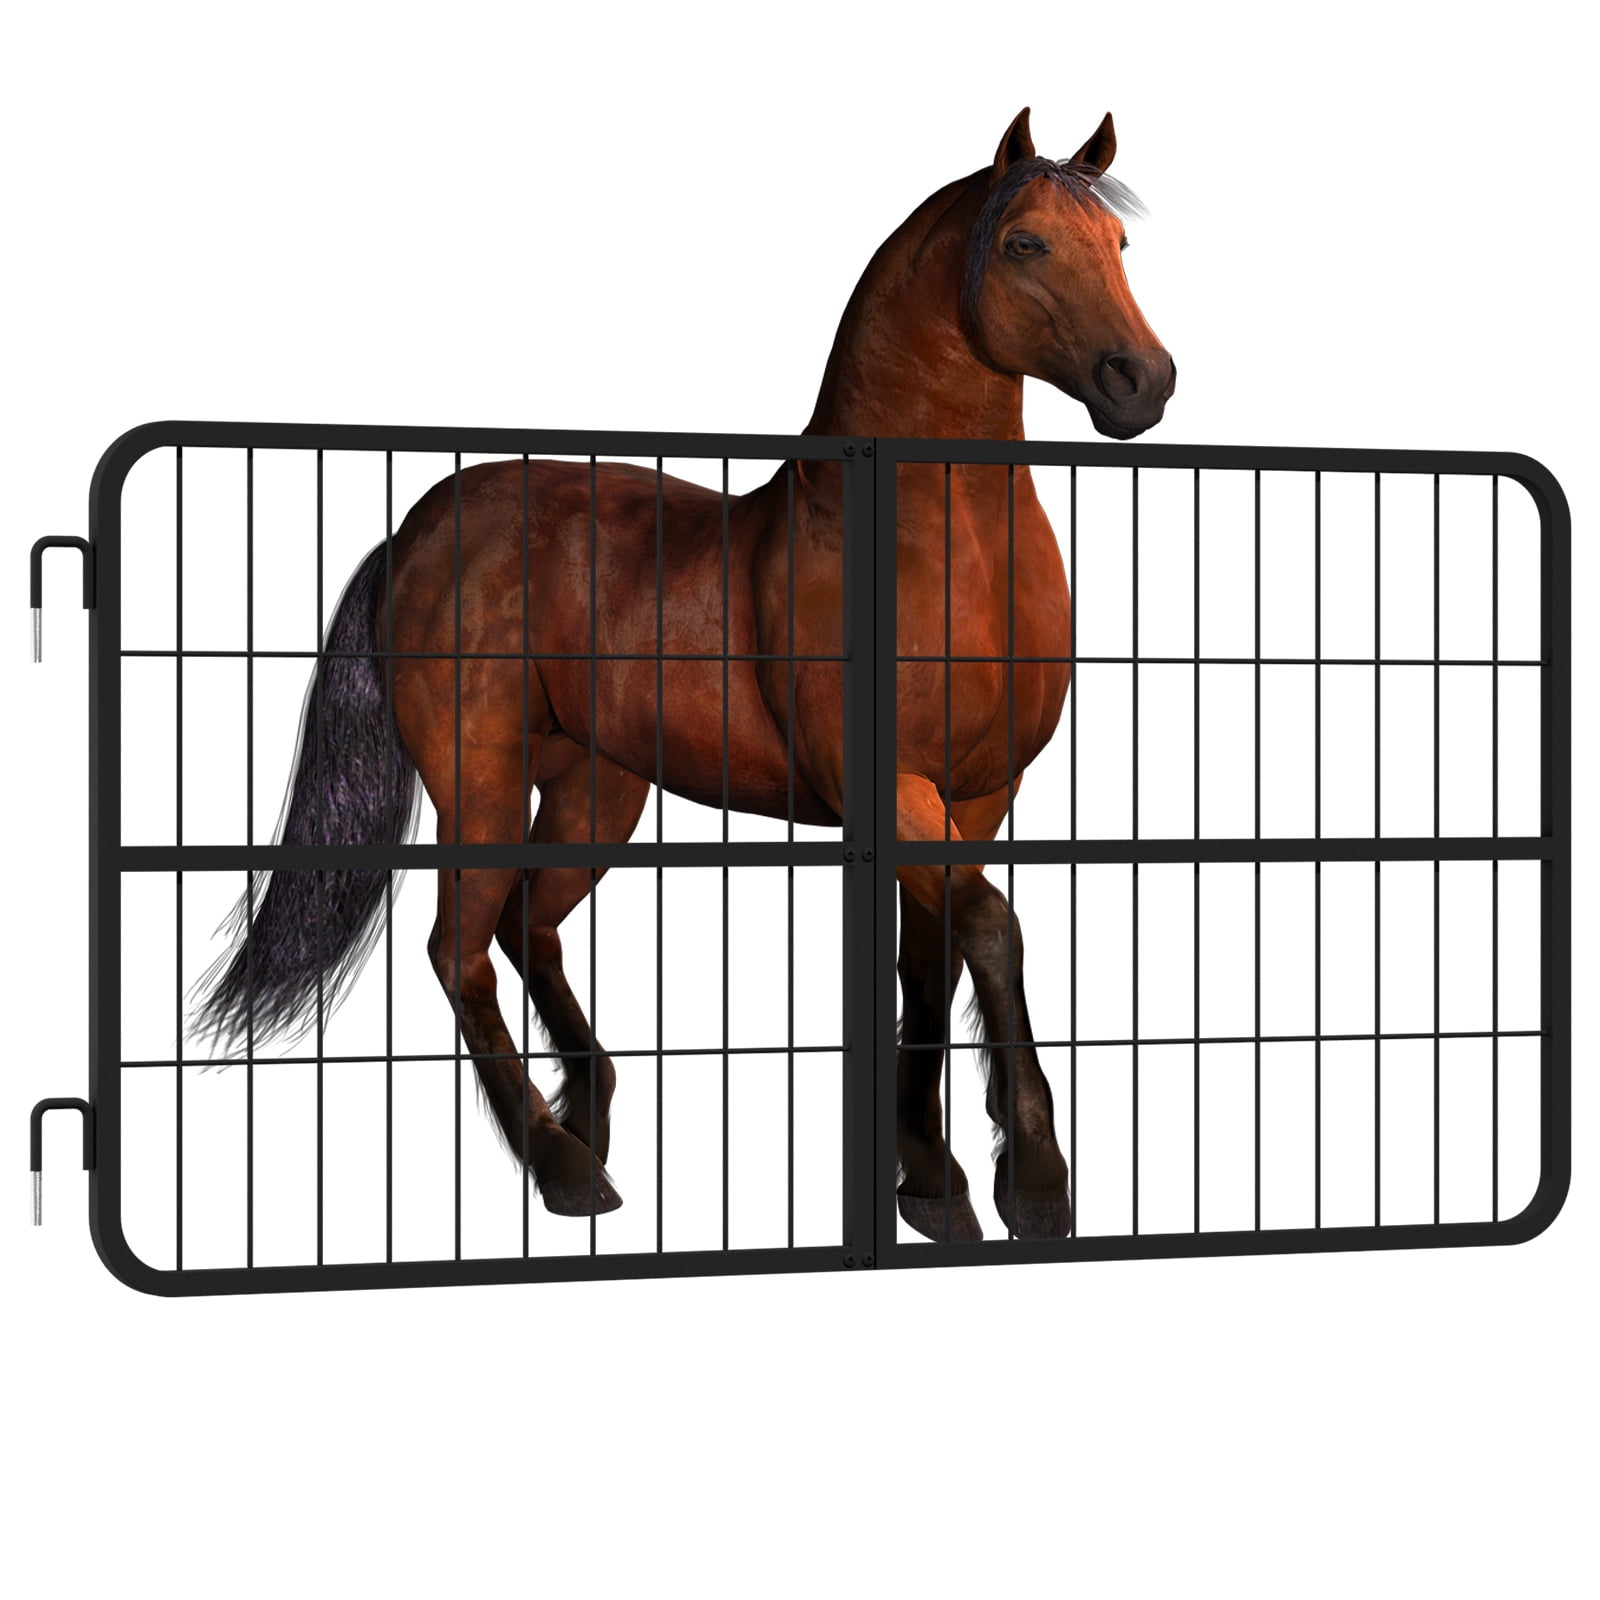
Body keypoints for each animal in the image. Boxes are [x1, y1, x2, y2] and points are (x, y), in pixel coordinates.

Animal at [194, 108, 1173, 1242]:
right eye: (1024, 243)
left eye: (1119, 245)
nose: (1143, 382)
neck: (924, 540)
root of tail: (415, 533)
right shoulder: (890, 788)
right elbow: (991, 930)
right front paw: (1036, 1182)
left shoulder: (978, 794)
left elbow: (930, 959)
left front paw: (931, 1179)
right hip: (479, 782)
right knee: (459, 949)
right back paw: (562, 1169)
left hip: (596, 789)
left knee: (529, 923)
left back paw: (591, 1119)